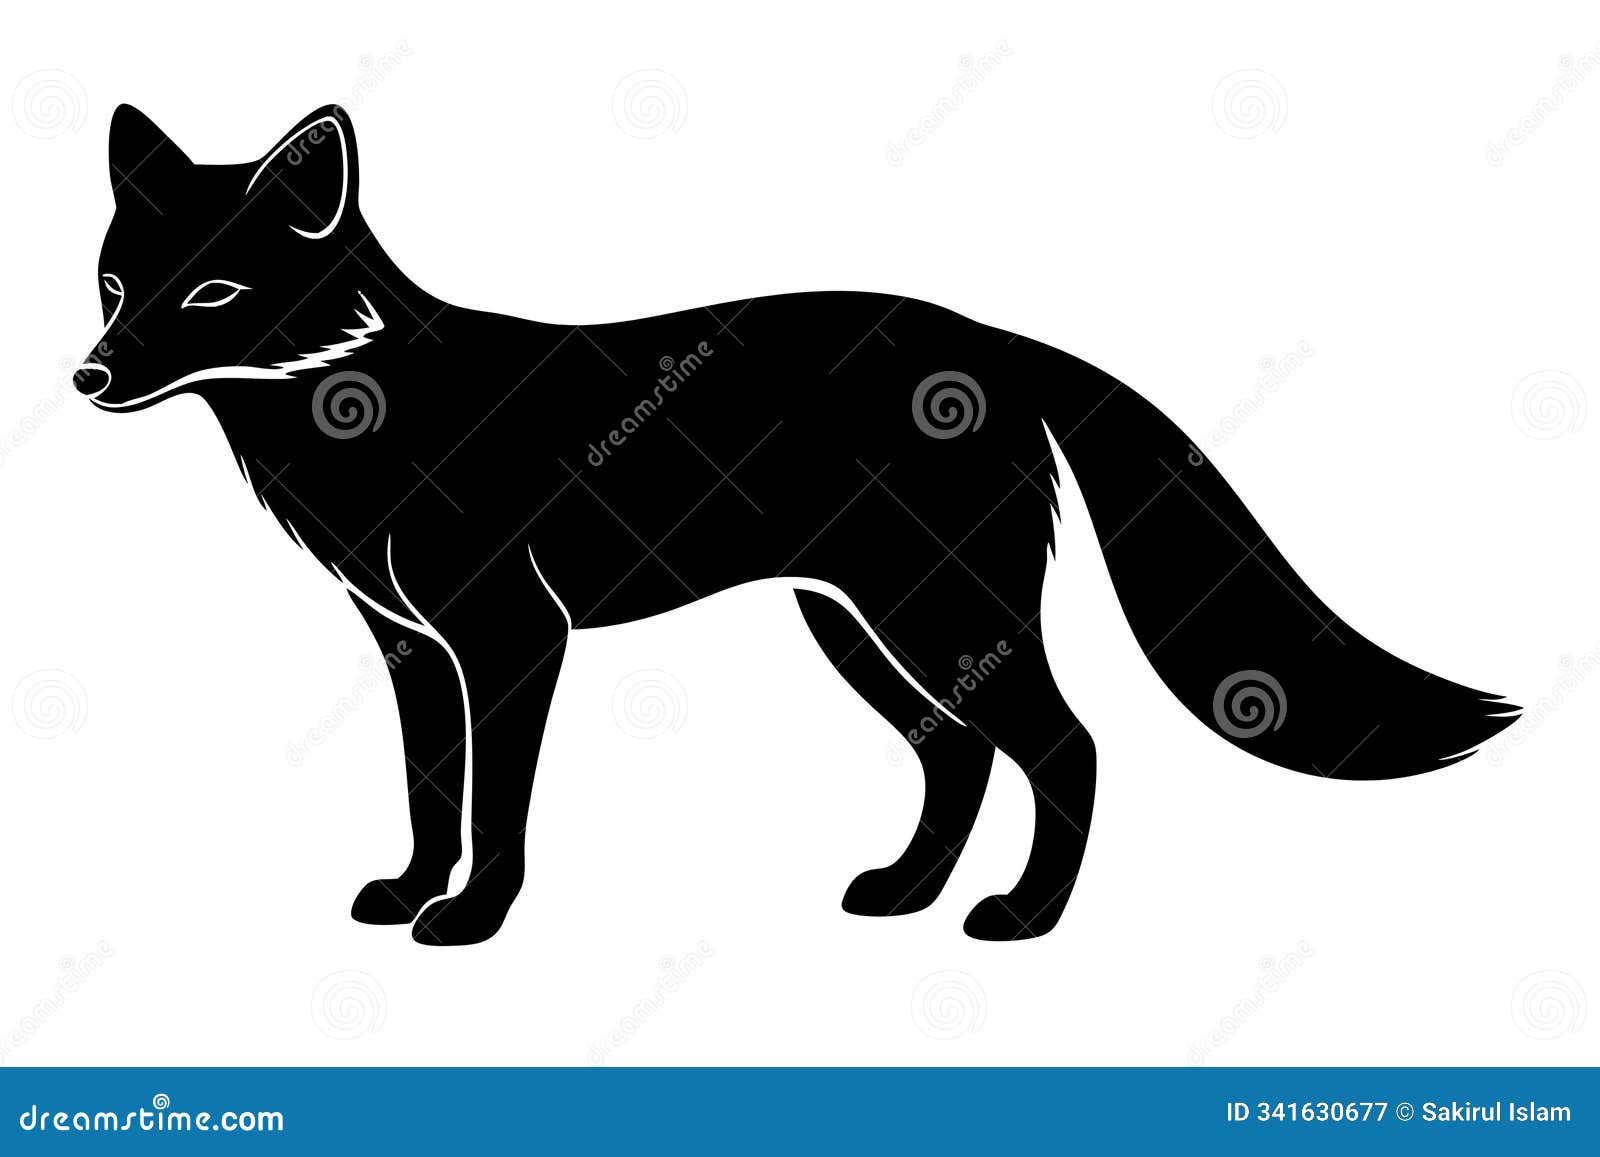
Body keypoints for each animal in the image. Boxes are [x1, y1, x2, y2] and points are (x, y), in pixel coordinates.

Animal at [76, 104, 1517, 946]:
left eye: (214, 292)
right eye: (115, 282)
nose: (87, 376)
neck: (364, 413)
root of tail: (992, 338)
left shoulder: (510, 639)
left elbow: (497, 804)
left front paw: (472, 917)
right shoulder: (409, 649)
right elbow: (430, 791)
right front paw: (405, 893)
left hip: (936, 612)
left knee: (1068, 746)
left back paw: (1019, 917)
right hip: (860, 624)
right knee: (961, 754)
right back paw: (903, 894)